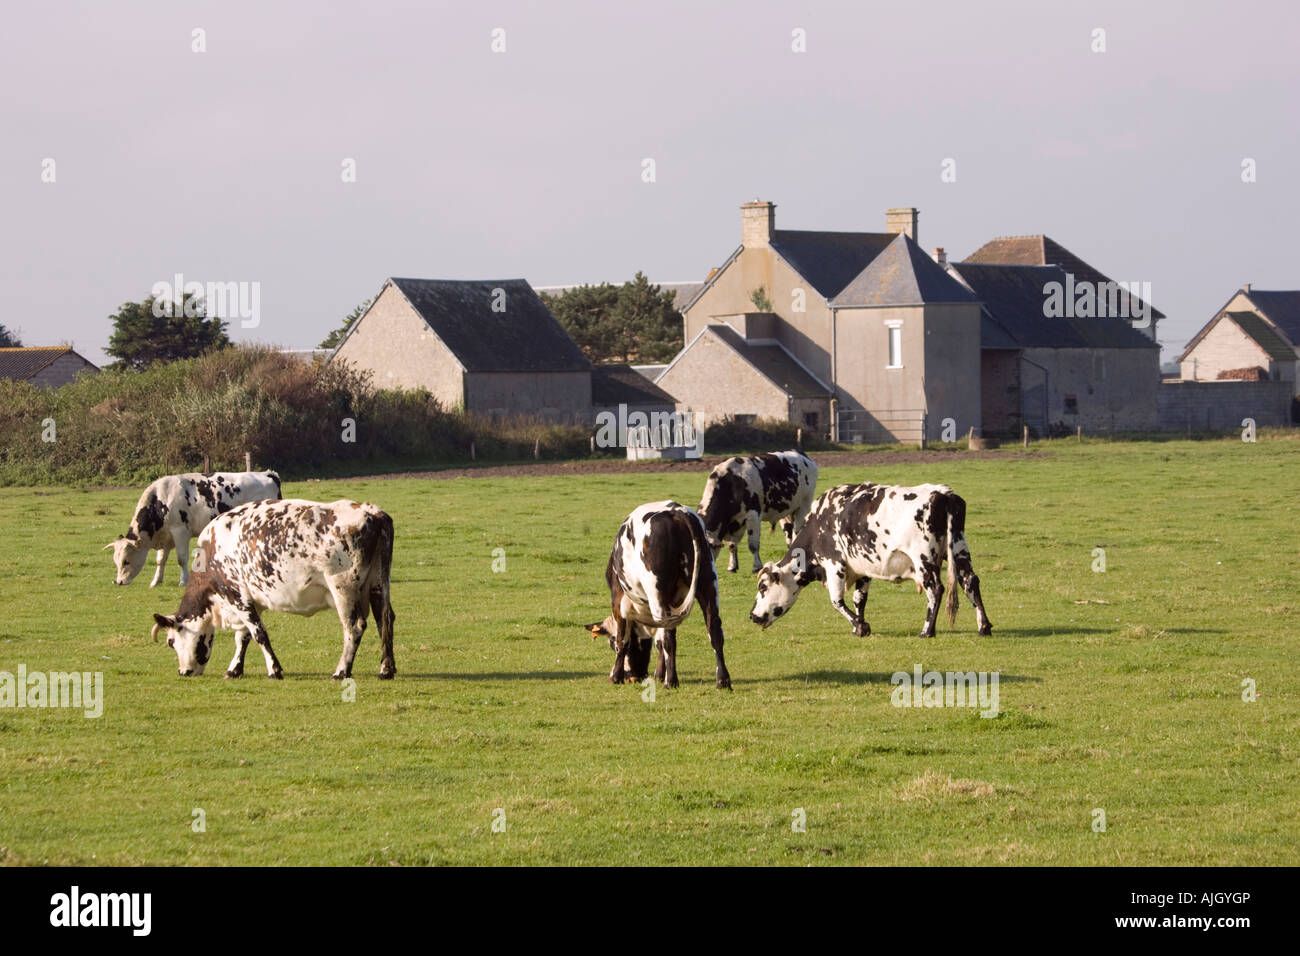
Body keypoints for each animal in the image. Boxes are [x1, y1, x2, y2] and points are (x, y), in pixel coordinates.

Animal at [106, 471, 282, 587]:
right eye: (116, 561)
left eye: (126, 561)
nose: (119, 581)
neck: (160, 501)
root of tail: (268, 474)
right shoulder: (166, 538)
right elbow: (160, 560)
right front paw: (156, 581)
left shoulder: (180, 531)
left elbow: (181, 558)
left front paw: (183, 581)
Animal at [149, 498, 396, 680]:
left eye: (171, 642)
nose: (184, 671)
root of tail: (373, 512)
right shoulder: (252, 601)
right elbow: (243, 637)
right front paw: (235, 669)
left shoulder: (236, 595)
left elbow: (259, 634)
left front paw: (274, 669)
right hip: (377, 584)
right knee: (385, 620)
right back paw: (386, 669)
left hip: (342, 588)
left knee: (354, 626)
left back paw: (341, 670)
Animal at [585, 500, 731, 690]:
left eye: (609, 642)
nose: (634, 676)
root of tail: (677, 511)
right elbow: (659, 641)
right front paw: (660, 673)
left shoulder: (619, 602)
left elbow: (622, 640)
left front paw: (615, 676)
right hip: (708, 583)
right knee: (714, 630)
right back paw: (722, 680)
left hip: (659, 593)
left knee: (670, 638)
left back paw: (671, 681)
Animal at [748, 482, 992, 638]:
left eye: (762, 587)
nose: (752, 615)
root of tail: (943, 494)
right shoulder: (862, 569)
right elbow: (859, 599)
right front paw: (858, 627)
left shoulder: (833, 563)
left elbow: (837, 601)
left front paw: (861, 625)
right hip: (958, 549)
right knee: (970, 582)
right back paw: (984, 626)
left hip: (924, 559)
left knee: (936, 589)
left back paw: (927, 631)